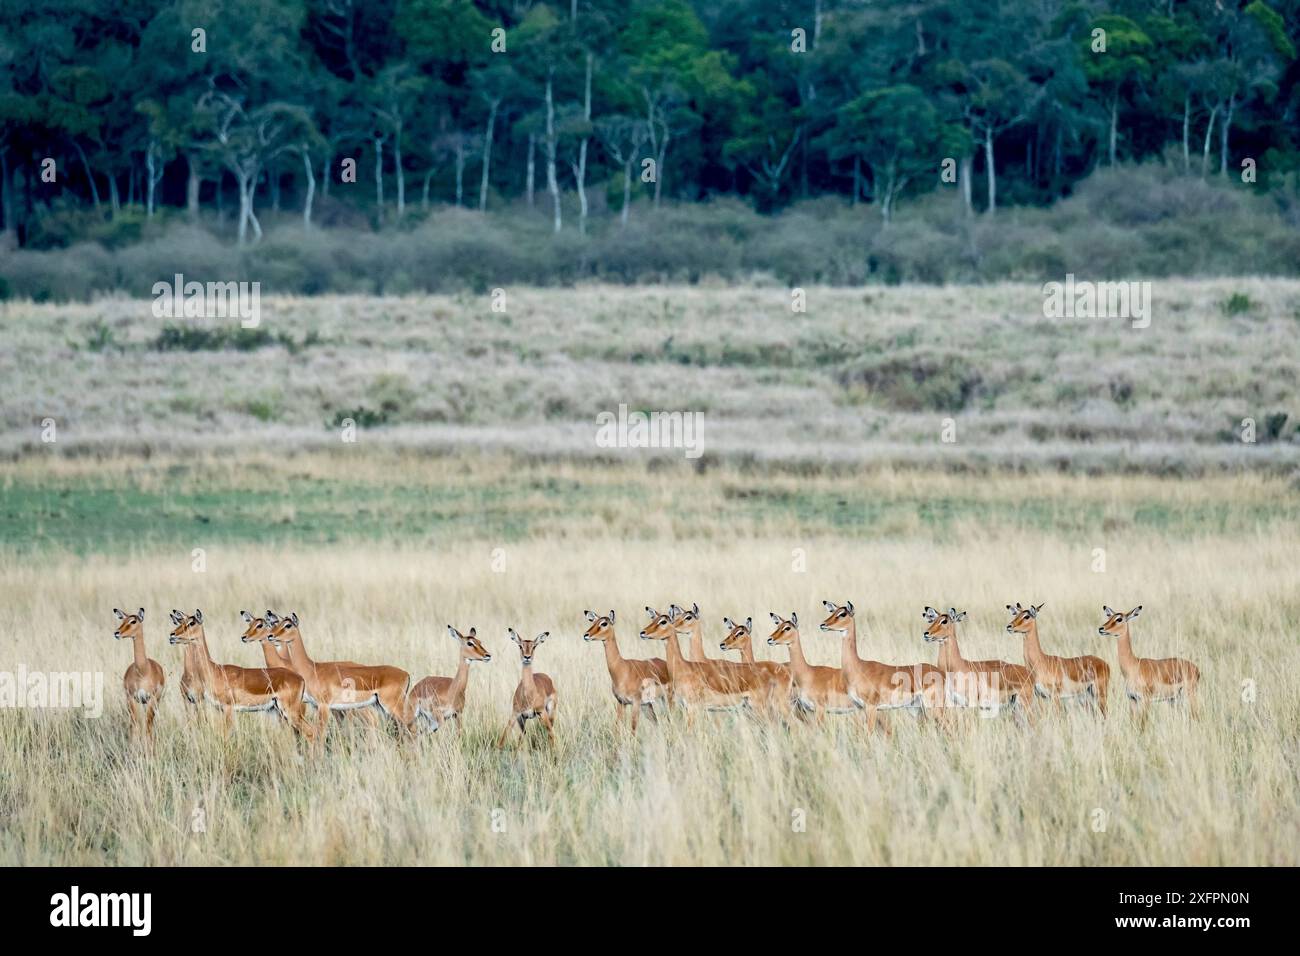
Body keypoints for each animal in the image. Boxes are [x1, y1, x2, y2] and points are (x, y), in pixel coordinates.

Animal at [113, 608, 165, 746]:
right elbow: (135, 727)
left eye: (133, 621)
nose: (117, 633)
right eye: (123, 620)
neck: (143, 670)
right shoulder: (131, 698)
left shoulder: (151, 698)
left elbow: (147, 727)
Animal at [167, 609, 316, 740]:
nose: (172, 635)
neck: (214, 670)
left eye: (191, 623)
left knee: (311, 732)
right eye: (180, 621)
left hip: (290, 711)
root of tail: (300, 678)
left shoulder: (228, 709)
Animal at [267, 612, 415, 738]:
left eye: (288, 625)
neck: (311, 669)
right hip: (382, 708)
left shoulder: (324, 706)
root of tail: (406, 674)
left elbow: (320, 734)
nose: (270, 636)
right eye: (277, 624)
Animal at [819, 600, 946, 732]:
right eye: (832, 612)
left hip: (935, 706)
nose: (823, 624)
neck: (858, 667)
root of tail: (941, 673)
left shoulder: (871, 707)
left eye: (842, 614)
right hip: (917, 709)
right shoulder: (860, 708)